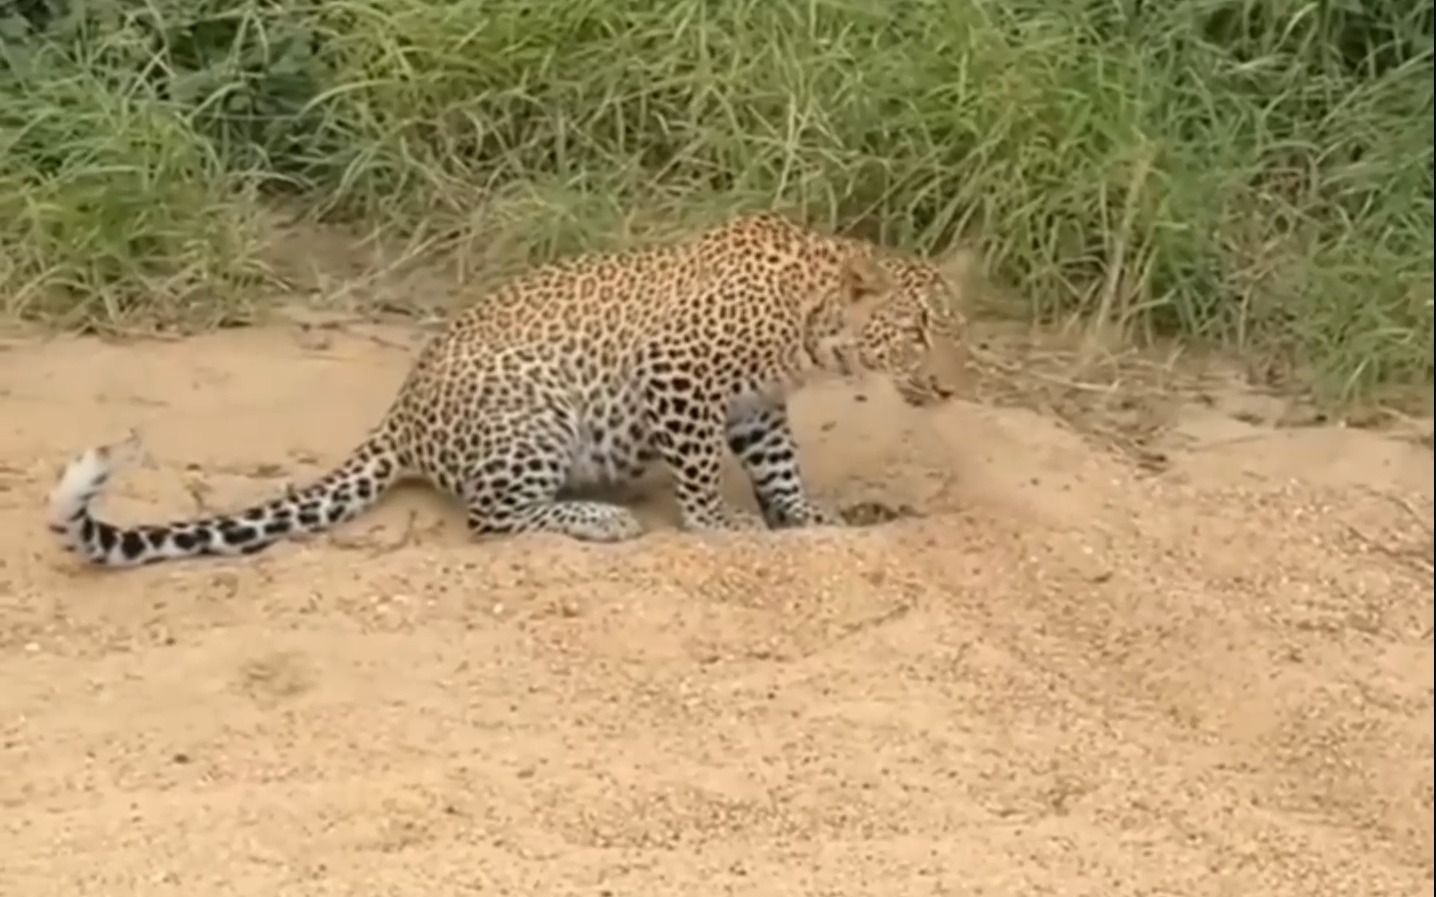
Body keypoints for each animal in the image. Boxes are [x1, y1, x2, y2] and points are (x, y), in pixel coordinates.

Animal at [46, 211, 968, 568]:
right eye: (919, 332)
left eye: (958, 330)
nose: (956, 389)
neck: (804, 326)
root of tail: (401, 416)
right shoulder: (677, 373)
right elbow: (702, 471)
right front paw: (722, 524)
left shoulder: (758, 405)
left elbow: (781, 468)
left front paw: (811, 518)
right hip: (533, 416)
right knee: (495, 519)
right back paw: (601, 519)